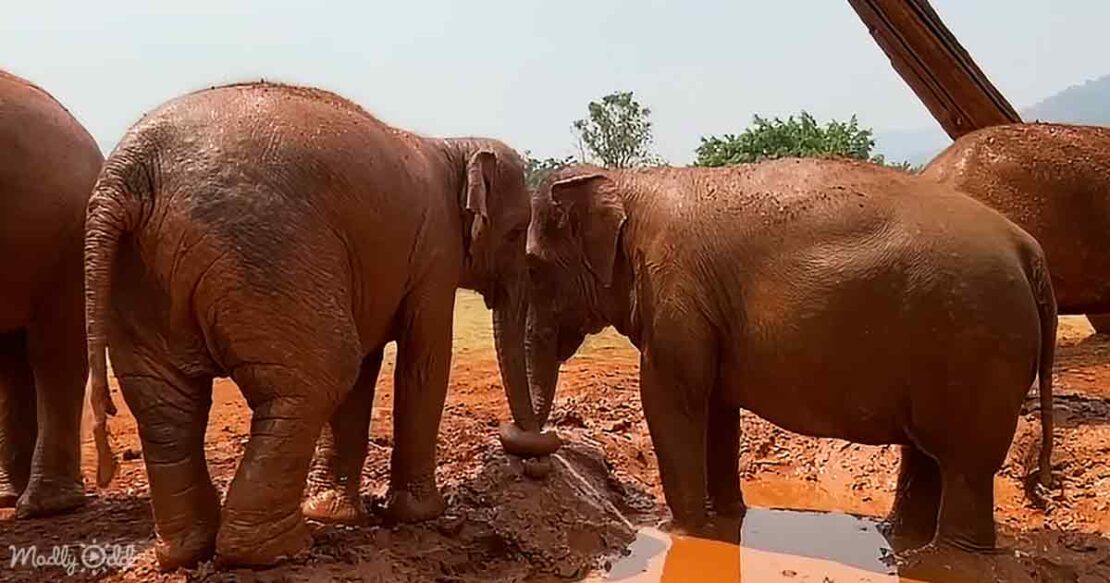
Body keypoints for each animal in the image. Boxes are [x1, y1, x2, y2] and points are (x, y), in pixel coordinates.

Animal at [83, 82, 536, 569]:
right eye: (516, 233)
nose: (527, 443)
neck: (454, 146)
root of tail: (128, 170)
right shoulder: (436, 251)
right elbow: (423, 361)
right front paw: (421, 515)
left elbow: (368, 368)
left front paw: (337, 514)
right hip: (265, 256)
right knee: (319, 376)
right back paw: (277, 550)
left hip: (138, 278)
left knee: (165, 403)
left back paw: (192, 550)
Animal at [501, 158, 1056, 552]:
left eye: (532, 267)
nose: (531, 446)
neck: (627, 182)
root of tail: (1028, 250)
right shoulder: (706, 312)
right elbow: (717, 410)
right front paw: (725, 521)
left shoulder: (675, 293)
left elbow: (671, 401)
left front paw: (681, 530)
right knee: (926, 456)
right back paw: (905, 543)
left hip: (977, 345)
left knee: (965, 467)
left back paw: (951, 557)